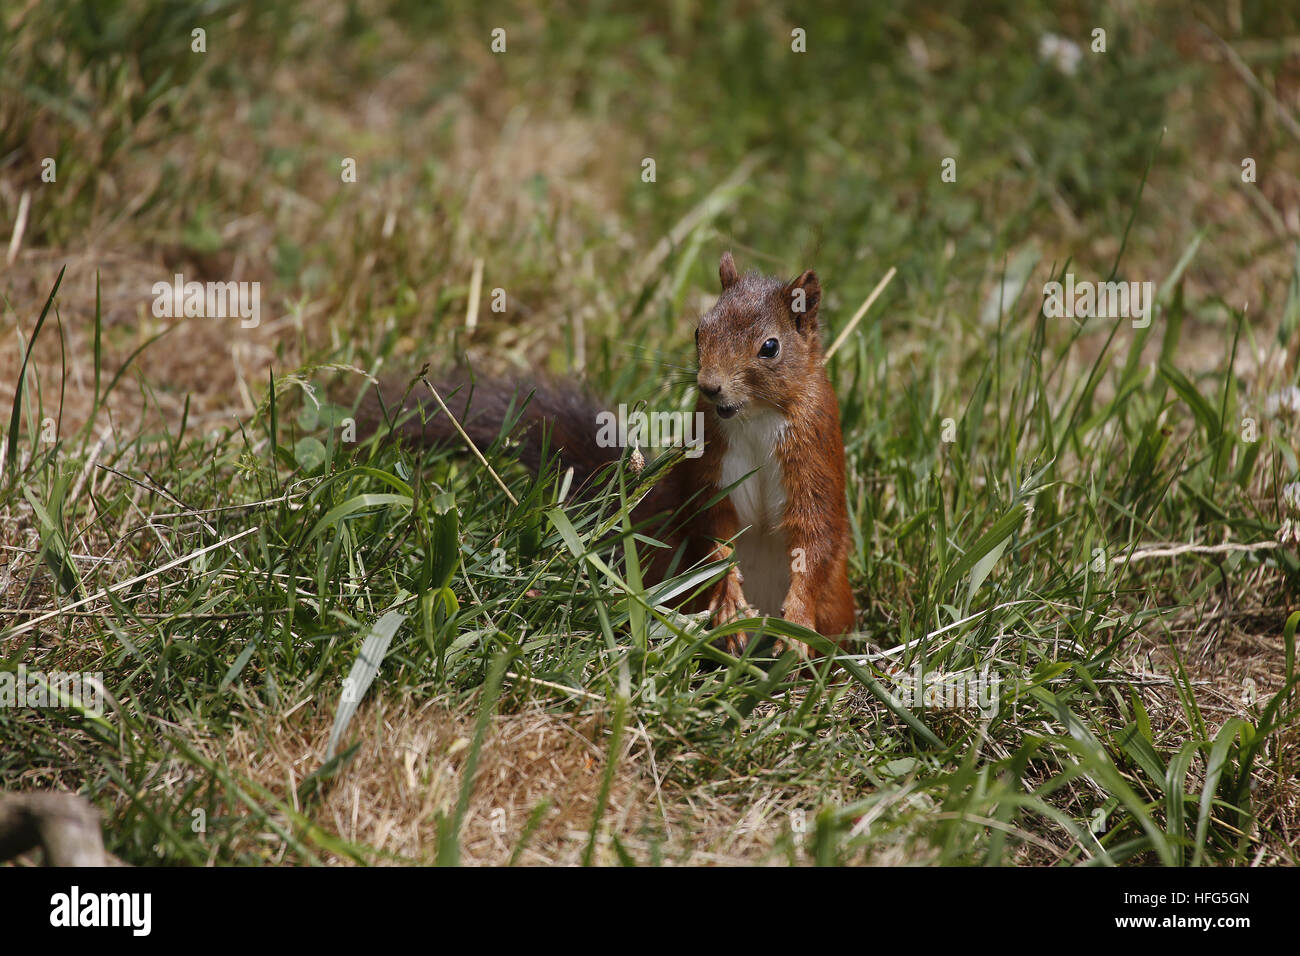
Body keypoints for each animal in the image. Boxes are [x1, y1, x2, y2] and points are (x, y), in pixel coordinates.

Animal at [361, 252, 856, 657]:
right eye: (700, 330)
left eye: (770, 347)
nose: (710, 386)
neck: (753, 418)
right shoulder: (712, 471)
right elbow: (712, 532)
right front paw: (729, 604)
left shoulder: (813, 459)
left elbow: (815, 540)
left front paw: (796, 628)